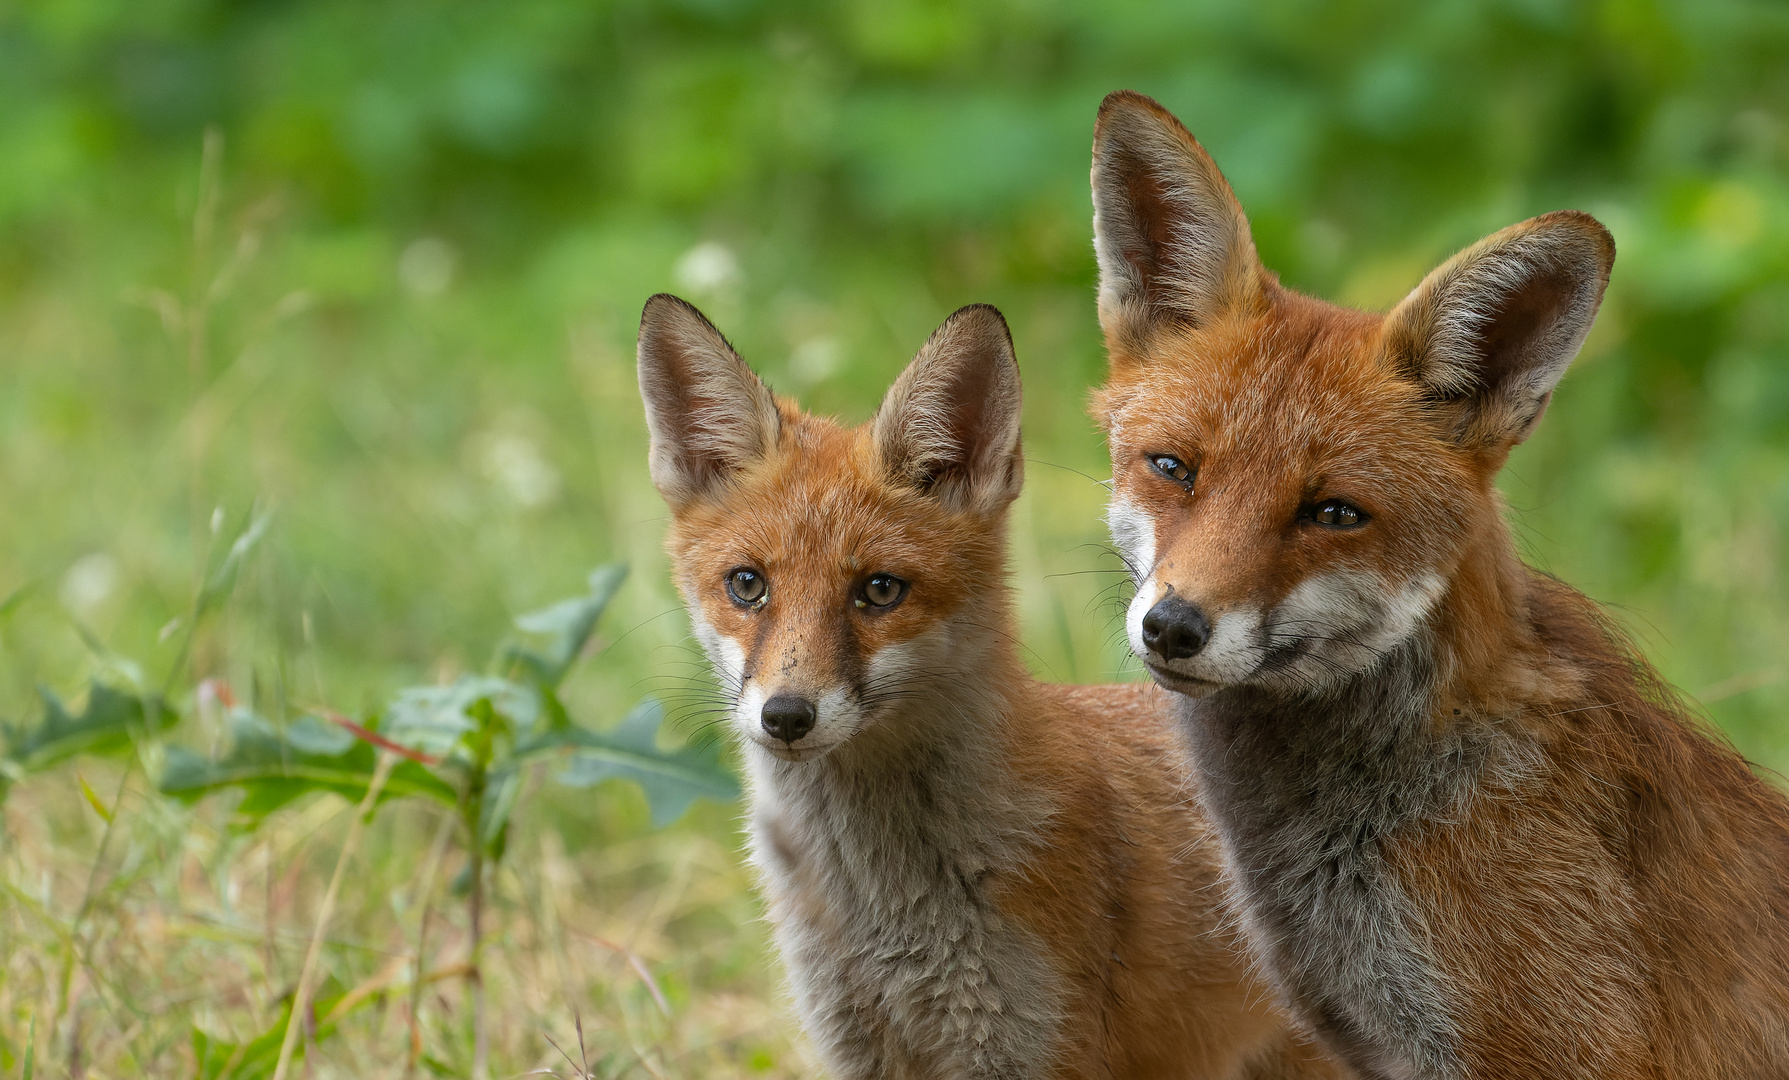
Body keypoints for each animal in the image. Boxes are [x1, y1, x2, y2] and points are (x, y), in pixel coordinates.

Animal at [640, 295, 1345, 1080]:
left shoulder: (1033, 1050)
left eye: (879, 590)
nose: (786, 715)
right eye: (747, 585)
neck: (885, 916)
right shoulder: (859, 1050)